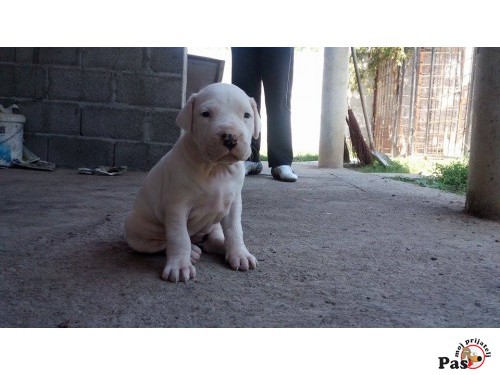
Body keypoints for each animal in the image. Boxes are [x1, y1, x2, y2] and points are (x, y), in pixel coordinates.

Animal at [125, 82, 262, 282]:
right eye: (205, 114)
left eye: (246, 115)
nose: (230, 137)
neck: (217, 169)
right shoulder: (177, 207)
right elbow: (178, 236)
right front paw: (180, 267)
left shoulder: (234, 203)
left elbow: (235, 230)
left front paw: (240, 254)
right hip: (134, 225)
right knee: (162, 243)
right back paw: (191, 252)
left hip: (213, 224)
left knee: (213, 238)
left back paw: (220, 245)